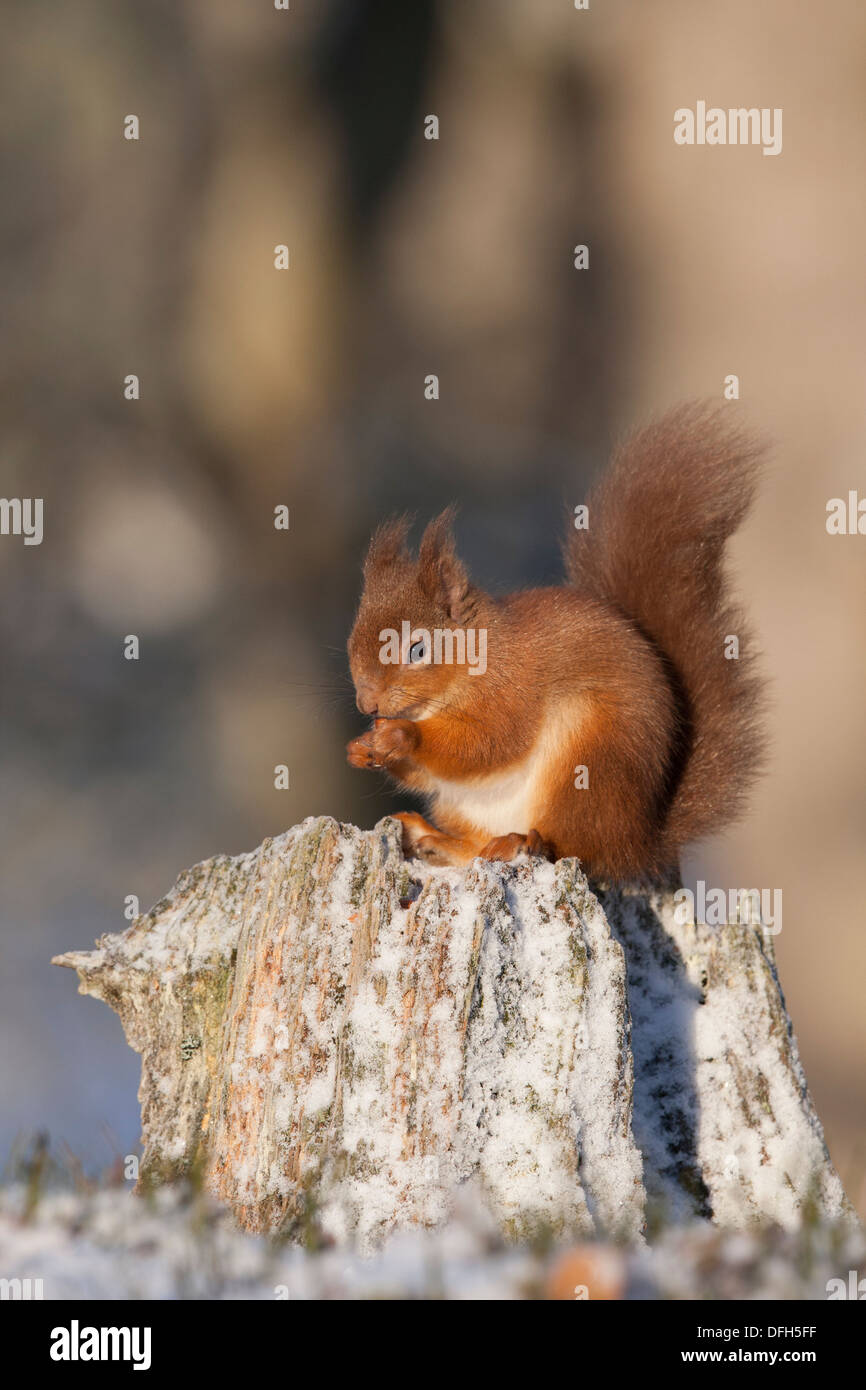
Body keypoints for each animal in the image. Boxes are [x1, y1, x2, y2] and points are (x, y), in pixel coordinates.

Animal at [346, 404, 767, 883]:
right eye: (353, 638)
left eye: (418, 649)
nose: (367, 704)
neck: (477, 658)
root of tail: (639, 840)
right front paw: (361, 747)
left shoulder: (513, 689)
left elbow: (488, 743)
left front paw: (402, 734)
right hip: (466, 805)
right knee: (475, 846)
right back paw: (436, 839)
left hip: (589, 759)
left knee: (575, 845)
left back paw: (521, 842)